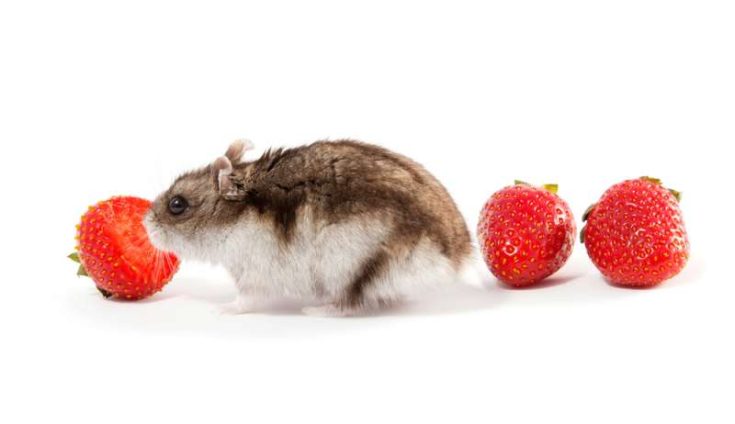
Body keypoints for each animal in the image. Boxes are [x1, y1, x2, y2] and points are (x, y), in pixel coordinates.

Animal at [144, 139, 474, 316]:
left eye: (177, 204)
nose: (145, 223)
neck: (234, 217)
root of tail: (460, 256)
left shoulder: (253, 274)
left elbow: (244, 301)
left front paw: (220, 309)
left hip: (351, 266)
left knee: (351, 304)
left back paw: (314, 310)